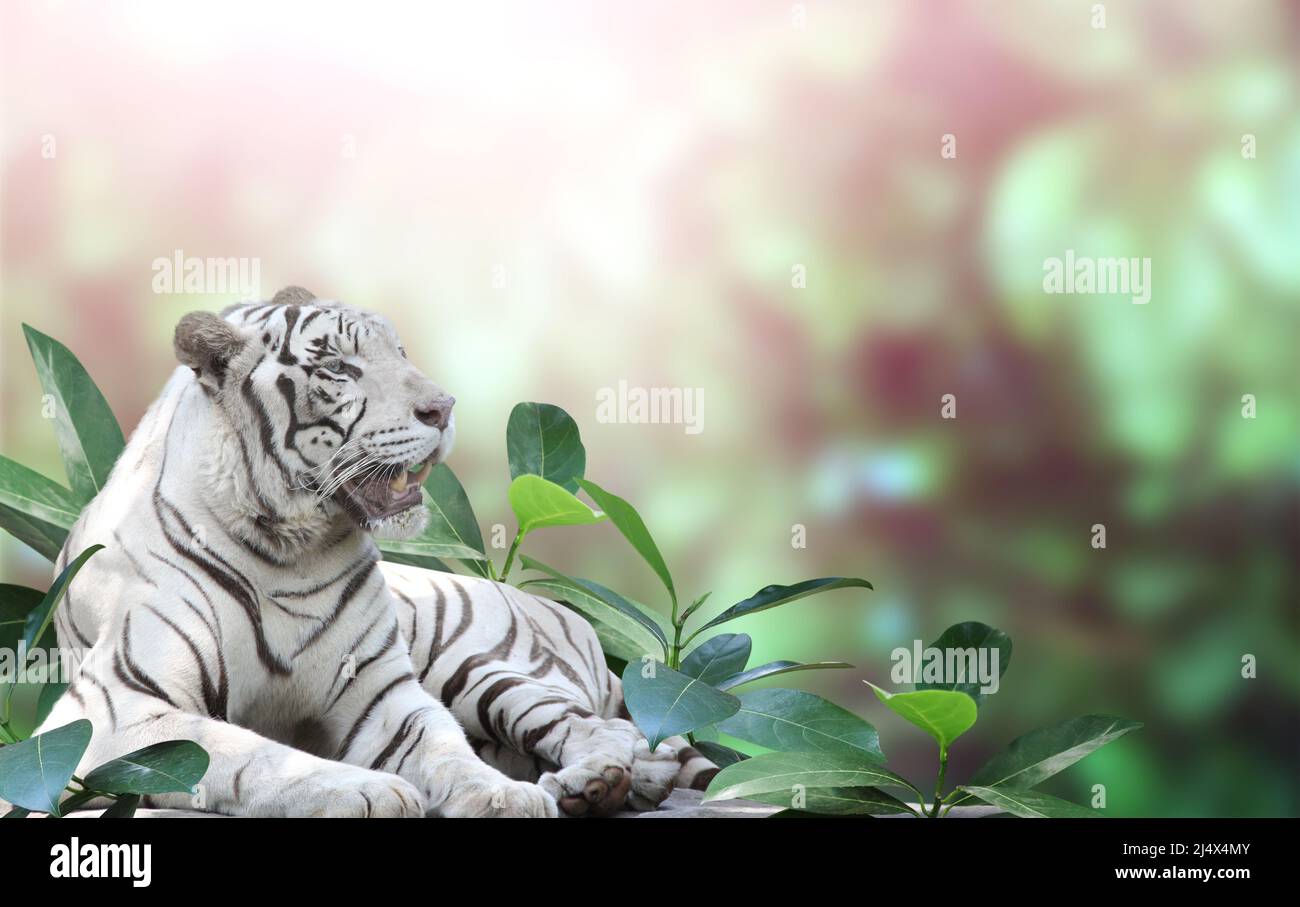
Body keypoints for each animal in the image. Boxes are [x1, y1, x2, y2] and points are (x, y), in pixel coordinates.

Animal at [32, 286, 716, 817]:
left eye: (401, 354)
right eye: (338, 367)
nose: (443, 407)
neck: (288, 551)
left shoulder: (381, 692)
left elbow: (441, 746)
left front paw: (499, 797)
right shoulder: (118, 709)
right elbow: (251, 753)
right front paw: (371, 791)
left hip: (480, 665)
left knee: (607, 728)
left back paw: (590, 783)